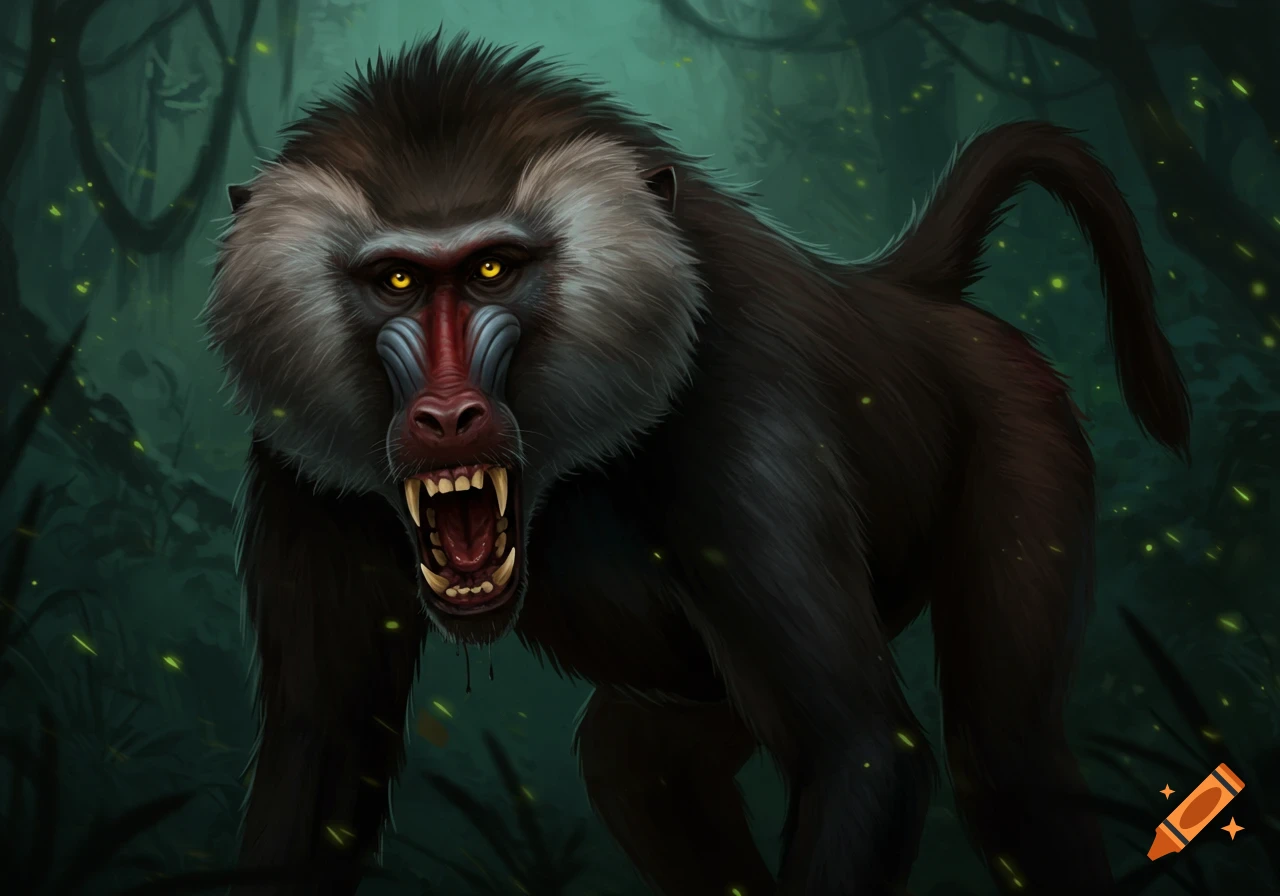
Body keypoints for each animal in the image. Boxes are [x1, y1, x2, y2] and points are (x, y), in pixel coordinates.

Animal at [203, 32, 1191, 896]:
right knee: (634, 769)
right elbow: (321, 755)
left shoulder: (740, 417)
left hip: (1025, 426)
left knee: (1009, 766)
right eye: (398, 281)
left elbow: (860, 752)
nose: (447, 417)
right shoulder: (298, 469)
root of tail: (906, 295)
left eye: (491, 269)